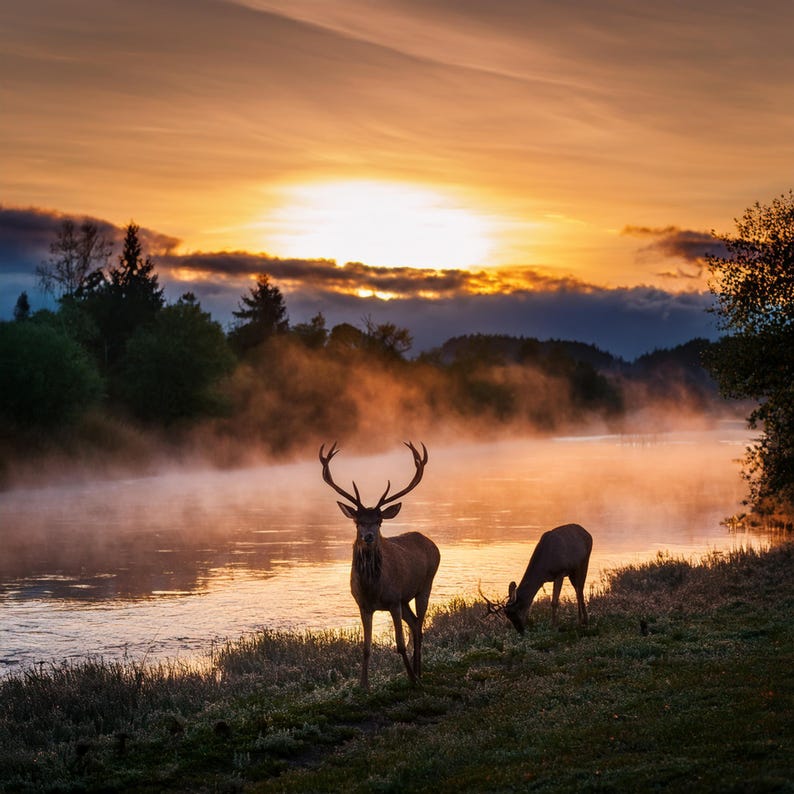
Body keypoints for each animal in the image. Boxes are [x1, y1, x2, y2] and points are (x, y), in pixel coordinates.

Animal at [319, 441, 440, 689]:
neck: (373, 589)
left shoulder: (393, 600)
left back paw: (419, 673)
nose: (368, 536)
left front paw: (411, 679)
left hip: (425, 585)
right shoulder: (363, 605)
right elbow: (365, 647)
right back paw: (417, 670)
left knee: (419, 627)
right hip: (405, 599)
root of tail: (431, 543)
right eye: (357, 521)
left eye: (379, 520)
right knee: (414, 623)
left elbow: (399, 644)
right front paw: (363, 685)